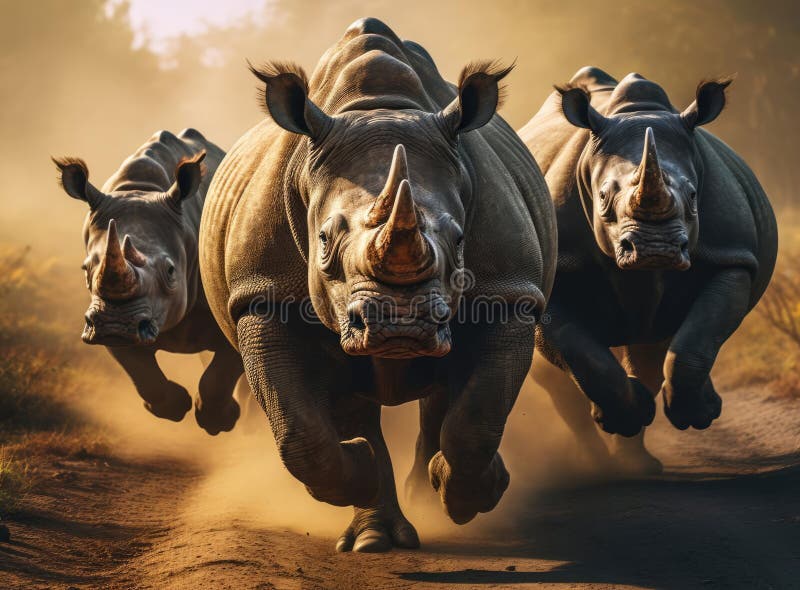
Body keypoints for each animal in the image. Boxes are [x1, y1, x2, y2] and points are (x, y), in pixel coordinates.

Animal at [53, 129, 244, 435]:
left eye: (170, 271)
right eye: (85, 270)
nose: (115, 325)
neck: (144, 190)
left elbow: (221, 372)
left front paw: (218, 421)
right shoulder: (103, 312)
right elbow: (142, 374)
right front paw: (175, 407)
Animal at [200, 18, 556, 551]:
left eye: (460, 239)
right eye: (323, 241)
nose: (399, 327)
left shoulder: (509, 294)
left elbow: (478, 417)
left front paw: (469, 493)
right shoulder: (263, 297)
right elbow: (299, 431)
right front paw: (365, 468)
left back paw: (427, 490)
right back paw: (374, 533)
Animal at [519, 67, 777, 472]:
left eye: (693, 196)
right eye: (603, 197)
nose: (656, 250)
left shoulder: (731, 255)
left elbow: (700, 334)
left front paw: (699, 414)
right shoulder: (554, 271)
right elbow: (580, 353)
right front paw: (627, 414)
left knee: (651, 346)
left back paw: (638, 462)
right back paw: (603, 464)